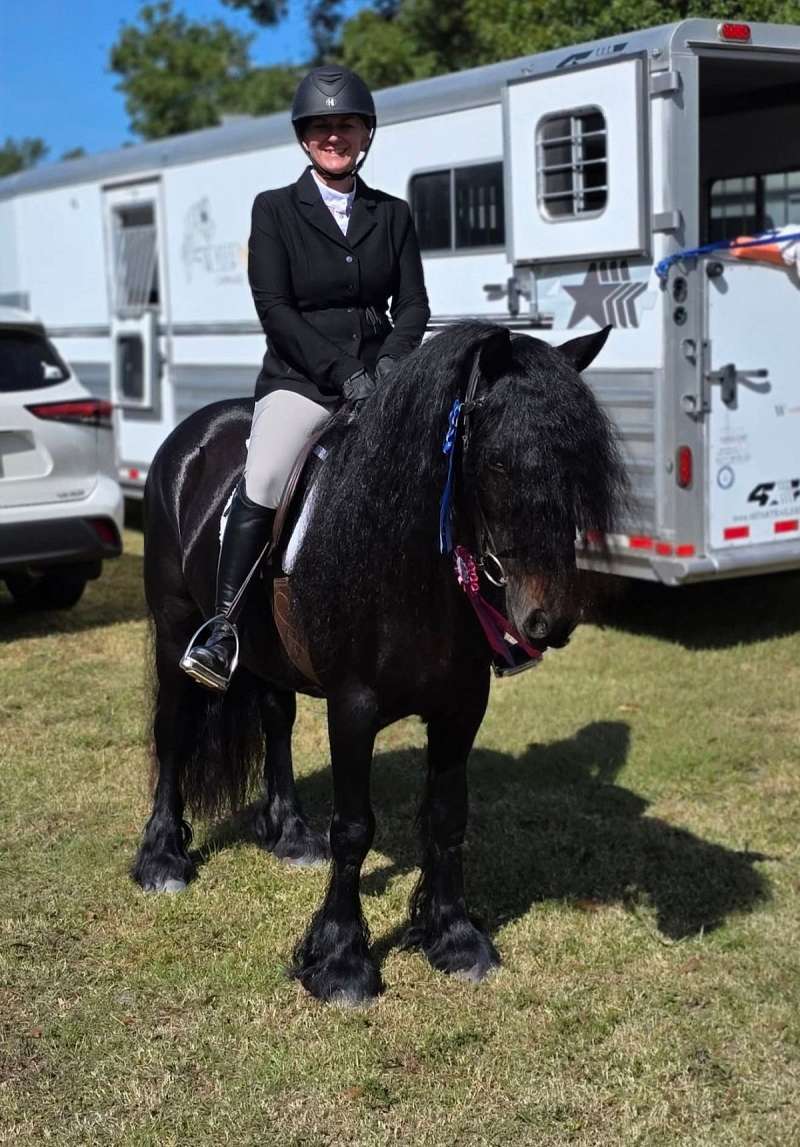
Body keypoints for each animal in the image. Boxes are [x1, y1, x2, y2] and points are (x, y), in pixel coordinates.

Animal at [133, 321, 628, 1004]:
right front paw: (341, 960)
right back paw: (161, 859)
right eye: (499, 462)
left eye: (578, 464)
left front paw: (454, 938)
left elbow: (447, 817)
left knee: (276, 720)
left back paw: (290, 835)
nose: (546, 621)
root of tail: (192, 436)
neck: (402, 559)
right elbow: (354, 827)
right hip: (175, 626)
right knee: (174, 731)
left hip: (268, 654)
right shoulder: (354, 707)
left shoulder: (461, 706)